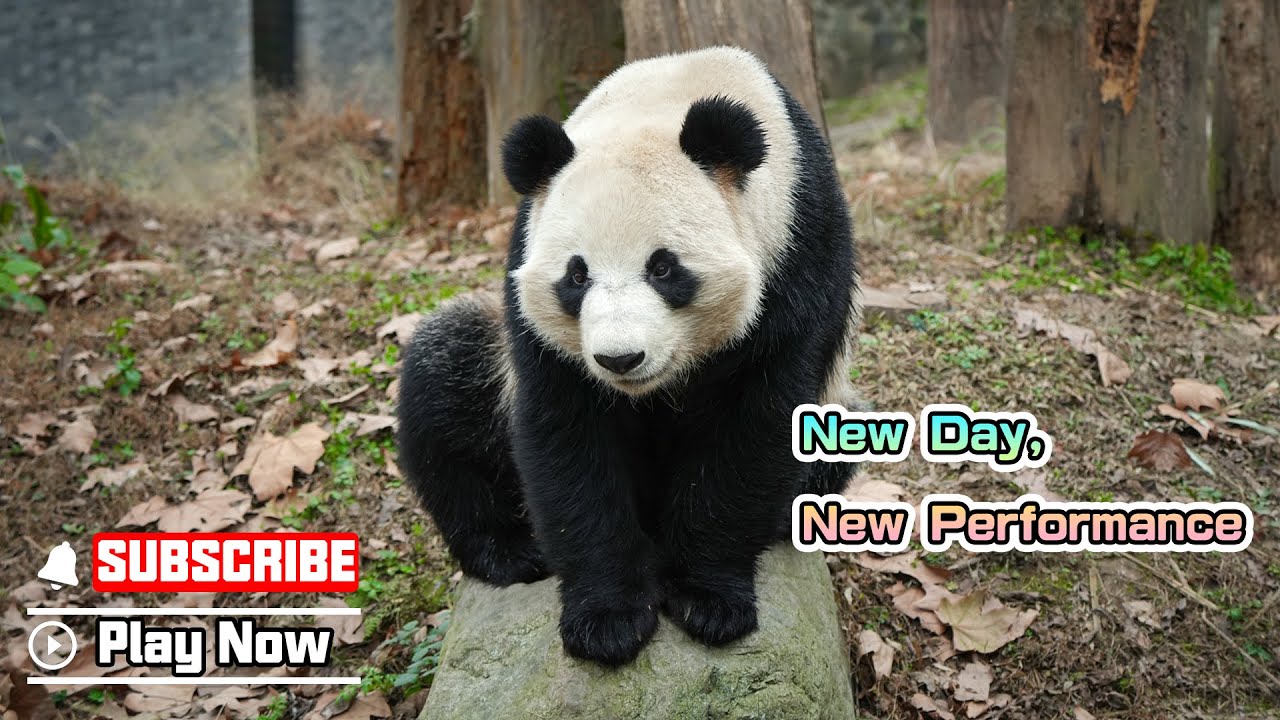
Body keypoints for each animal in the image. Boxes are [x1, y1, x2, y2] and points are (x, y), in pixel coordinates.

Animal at [397, 46, 859, 667]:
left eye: (663, 267)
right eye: (576, 275)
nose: (620, 358)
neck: (668, 93)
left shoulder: (798, 251)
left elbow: (754, 424)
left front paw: (707, 600)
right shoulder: (532, 283)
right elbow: (568, 435)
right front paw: (608, 617)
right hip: (485, 370)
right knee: (446, 377)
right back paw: (509, 551)